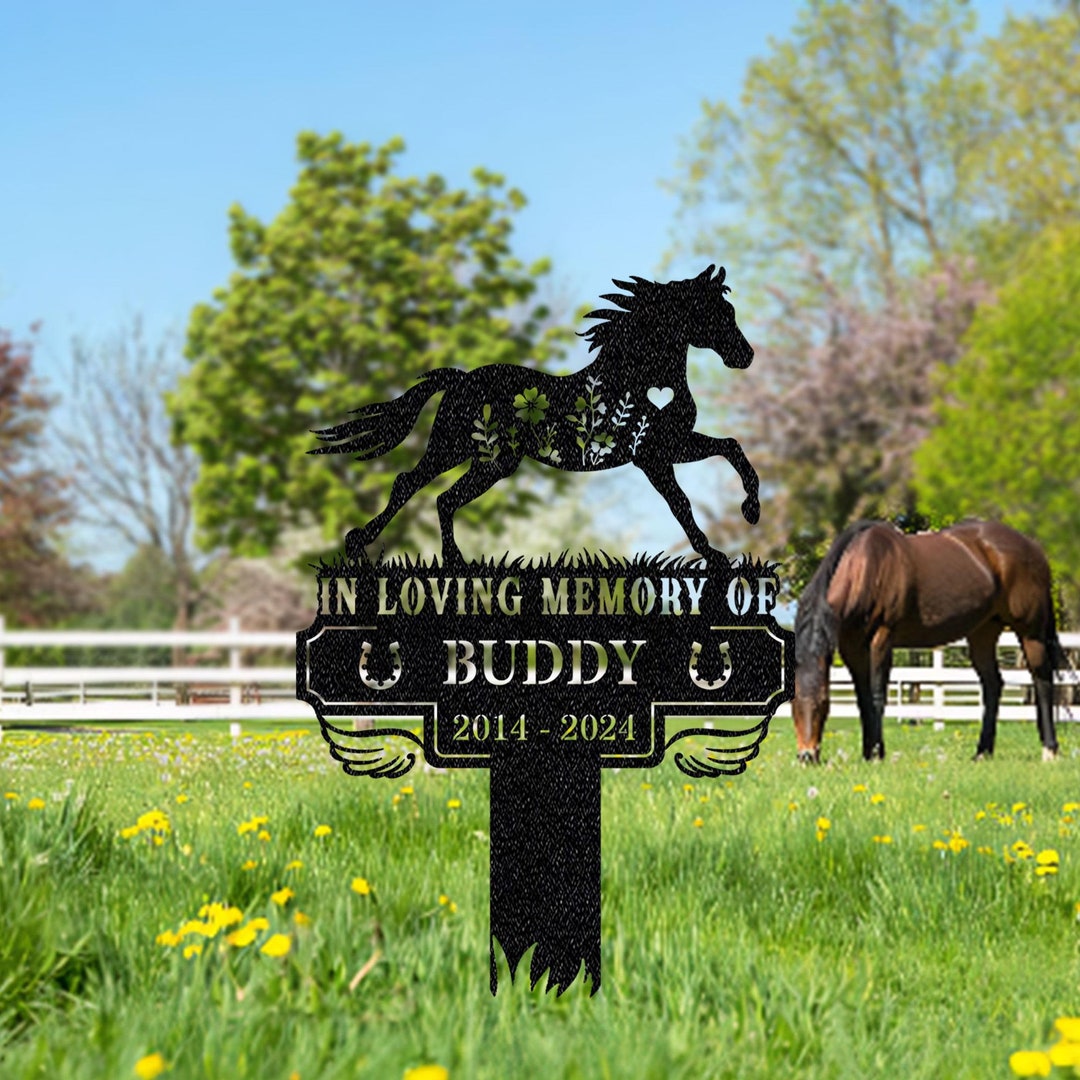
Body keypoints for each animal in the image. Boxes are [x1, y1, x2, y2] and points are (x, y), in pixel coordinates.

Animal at [310, 264, 759, 568]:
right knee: (417, 487)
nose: (746, 356)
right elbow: (681, 503)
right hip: (466, 452)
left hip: (484, 459)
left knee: (434, 494)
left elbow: (731, 448)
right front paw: (716, 553)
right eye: (716, 312)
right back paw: (397, 552)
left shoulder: (671, 446)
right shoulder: (650, 456)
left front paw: (749, 512)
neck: (637, 376)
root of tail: (460, 379)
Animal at [792, 520, 1063, 764]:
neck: (868, 566)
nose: (806, 757)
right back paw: (982, 753)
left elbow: (877, 695)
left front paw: (878, 754)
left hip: (1030, 633)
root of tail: (1032, 546)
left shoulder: (882, 639)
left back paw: (1049, 750)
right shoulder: (852, 648)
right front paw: (869, 753)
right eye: (793, 704)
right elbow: (863, 699)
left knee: (1042, 679)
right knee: (992, 685)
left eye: (822, 705)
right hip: (983, 632)